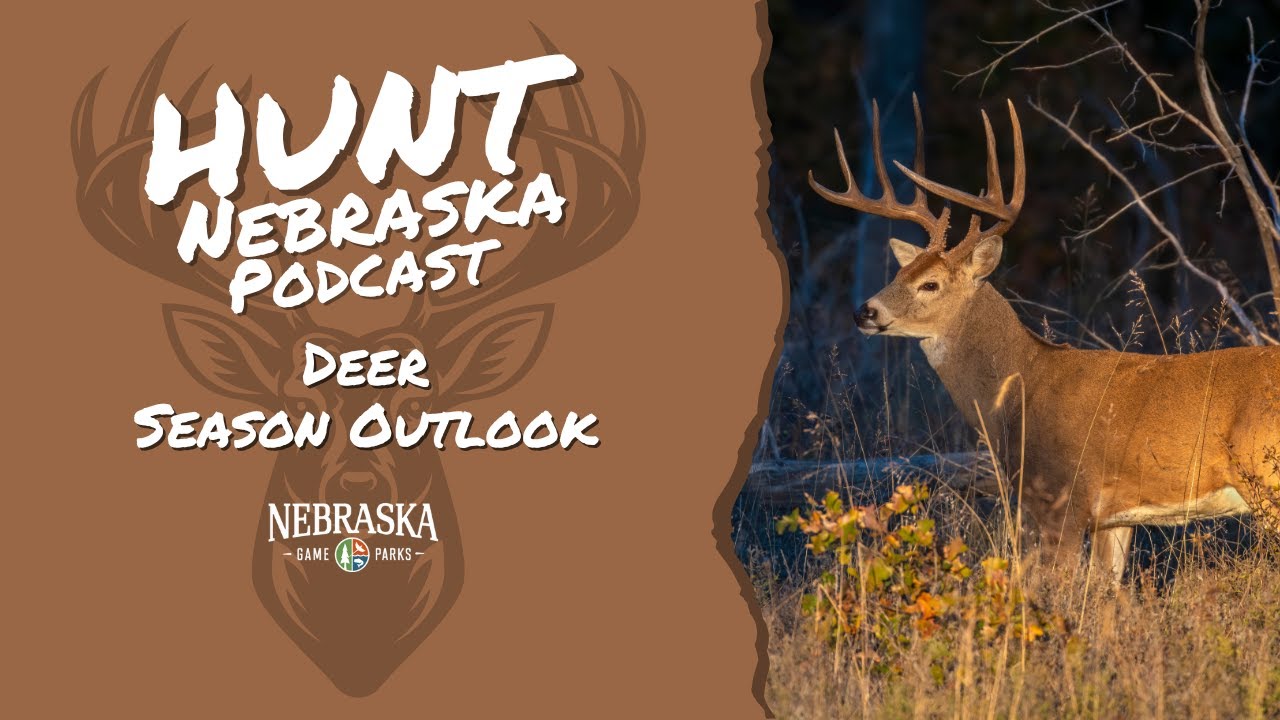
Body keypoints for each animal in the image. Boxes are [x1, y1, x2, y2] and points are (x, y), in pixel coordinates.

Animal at [809, 96, 1280, 583]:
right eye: (900, 274)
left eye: (930, 284)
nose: (864, 311)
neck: (1023, 387)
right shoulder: (1116, 517)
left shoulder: (1062, 499)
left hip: (1264, 477)